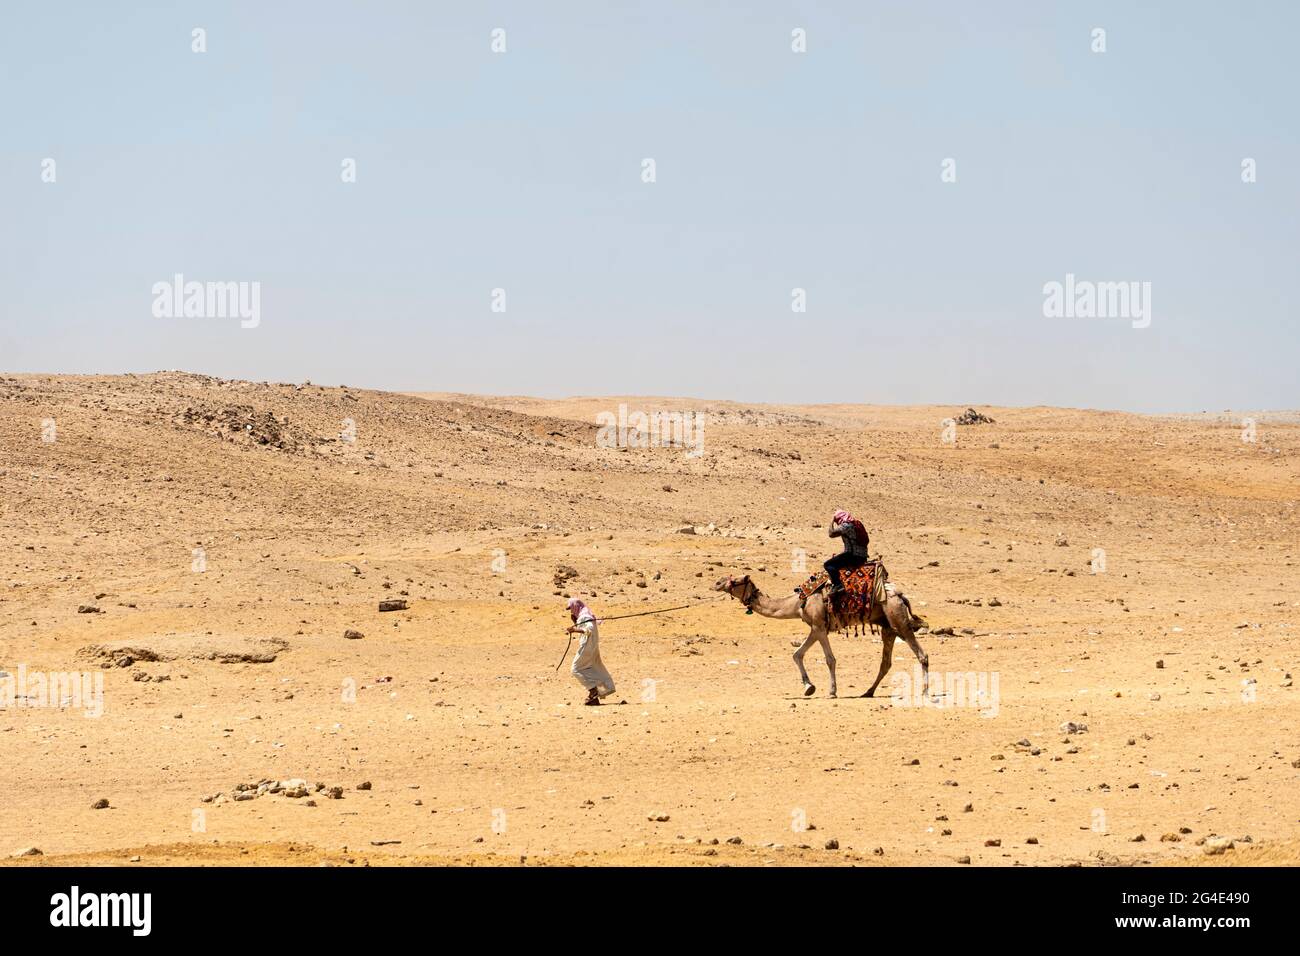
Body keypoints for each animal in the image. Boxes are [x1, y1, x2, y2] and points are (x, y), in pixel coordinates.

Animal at [713, 573, 929, 700]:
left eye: (736, 579)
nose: (716, 583)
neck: (797, 603)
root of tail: (901, 595)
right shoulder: (816, 628)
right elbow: (797, 654)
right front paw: (809, 687)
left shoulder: (819, 625)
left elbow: (830, 659)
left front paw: (832, 692)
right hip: (888, 627)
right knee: (885, 662)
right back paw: (868, 692)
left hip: (898, 620)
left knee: (922, 655)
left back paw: (925, 691)